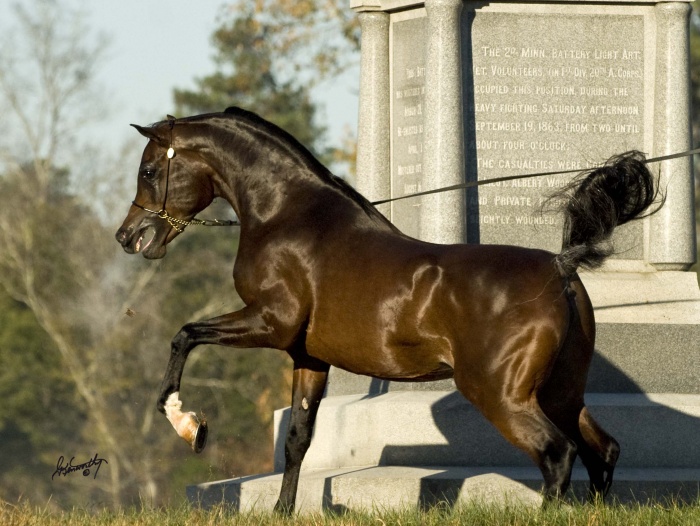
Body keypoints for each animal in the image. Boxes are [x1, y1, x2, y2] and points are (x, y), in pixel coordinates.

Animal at [115, 107, 659, 513]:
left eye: (149, 170)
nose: (129, 237)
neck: (287, 215)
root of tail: (561, 266)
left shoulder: (270, 323)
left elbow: (184, 335)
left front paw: (189, 425)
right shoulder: (308, 356)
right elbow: (297, 438)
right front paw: (282, 511)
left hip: (502, 394)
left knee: (557, 453)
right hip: (561, 392)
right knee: (600, 451)